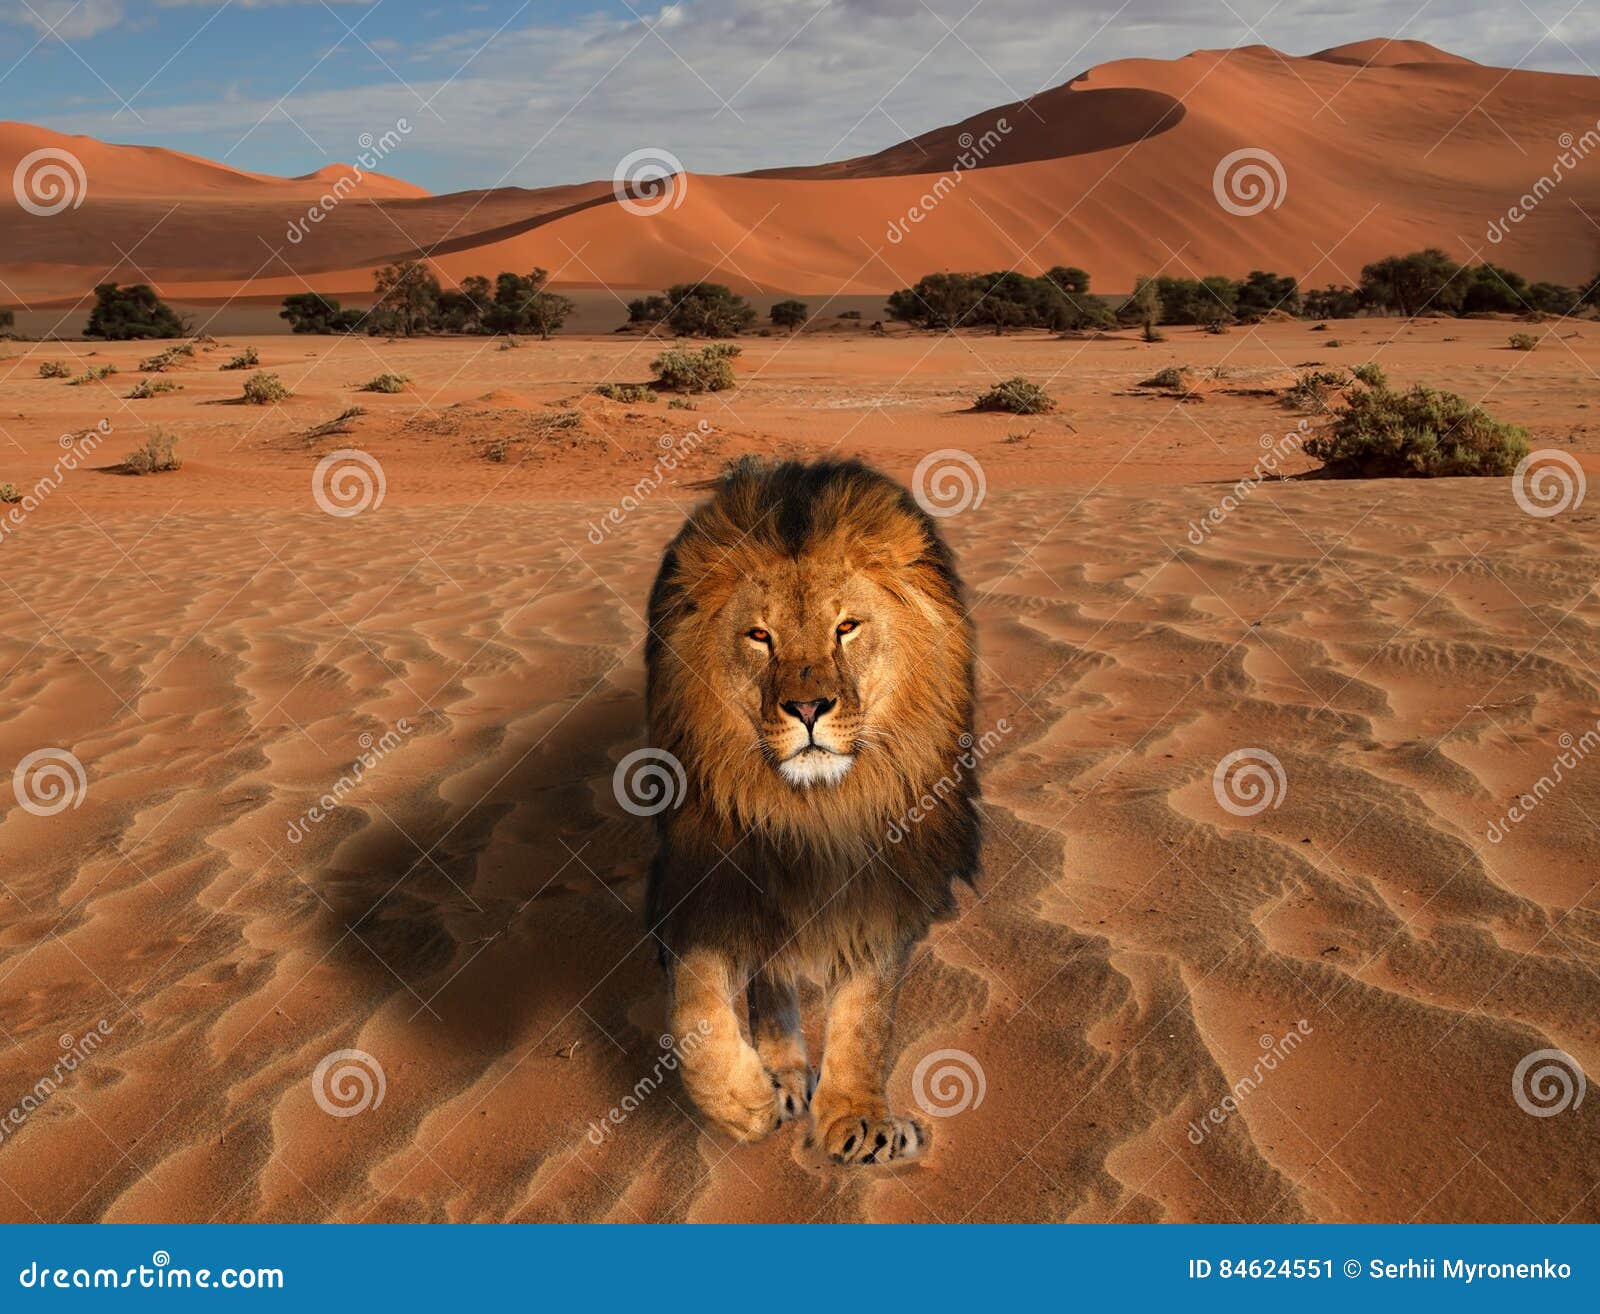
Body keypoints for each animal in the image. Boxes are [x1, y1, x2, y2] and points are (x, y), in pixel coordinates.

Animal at [644, 457, 980, 1165]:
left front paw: (857, 1121)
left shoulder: (886, 881)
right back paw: (780, 1077)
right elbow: (696, 1001)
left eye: (845, 627)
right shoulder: (706, 872)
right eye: (759, 636)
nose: (807, 709)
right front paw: (743, 1101)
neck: (814, 811)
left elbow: (865, 1015)